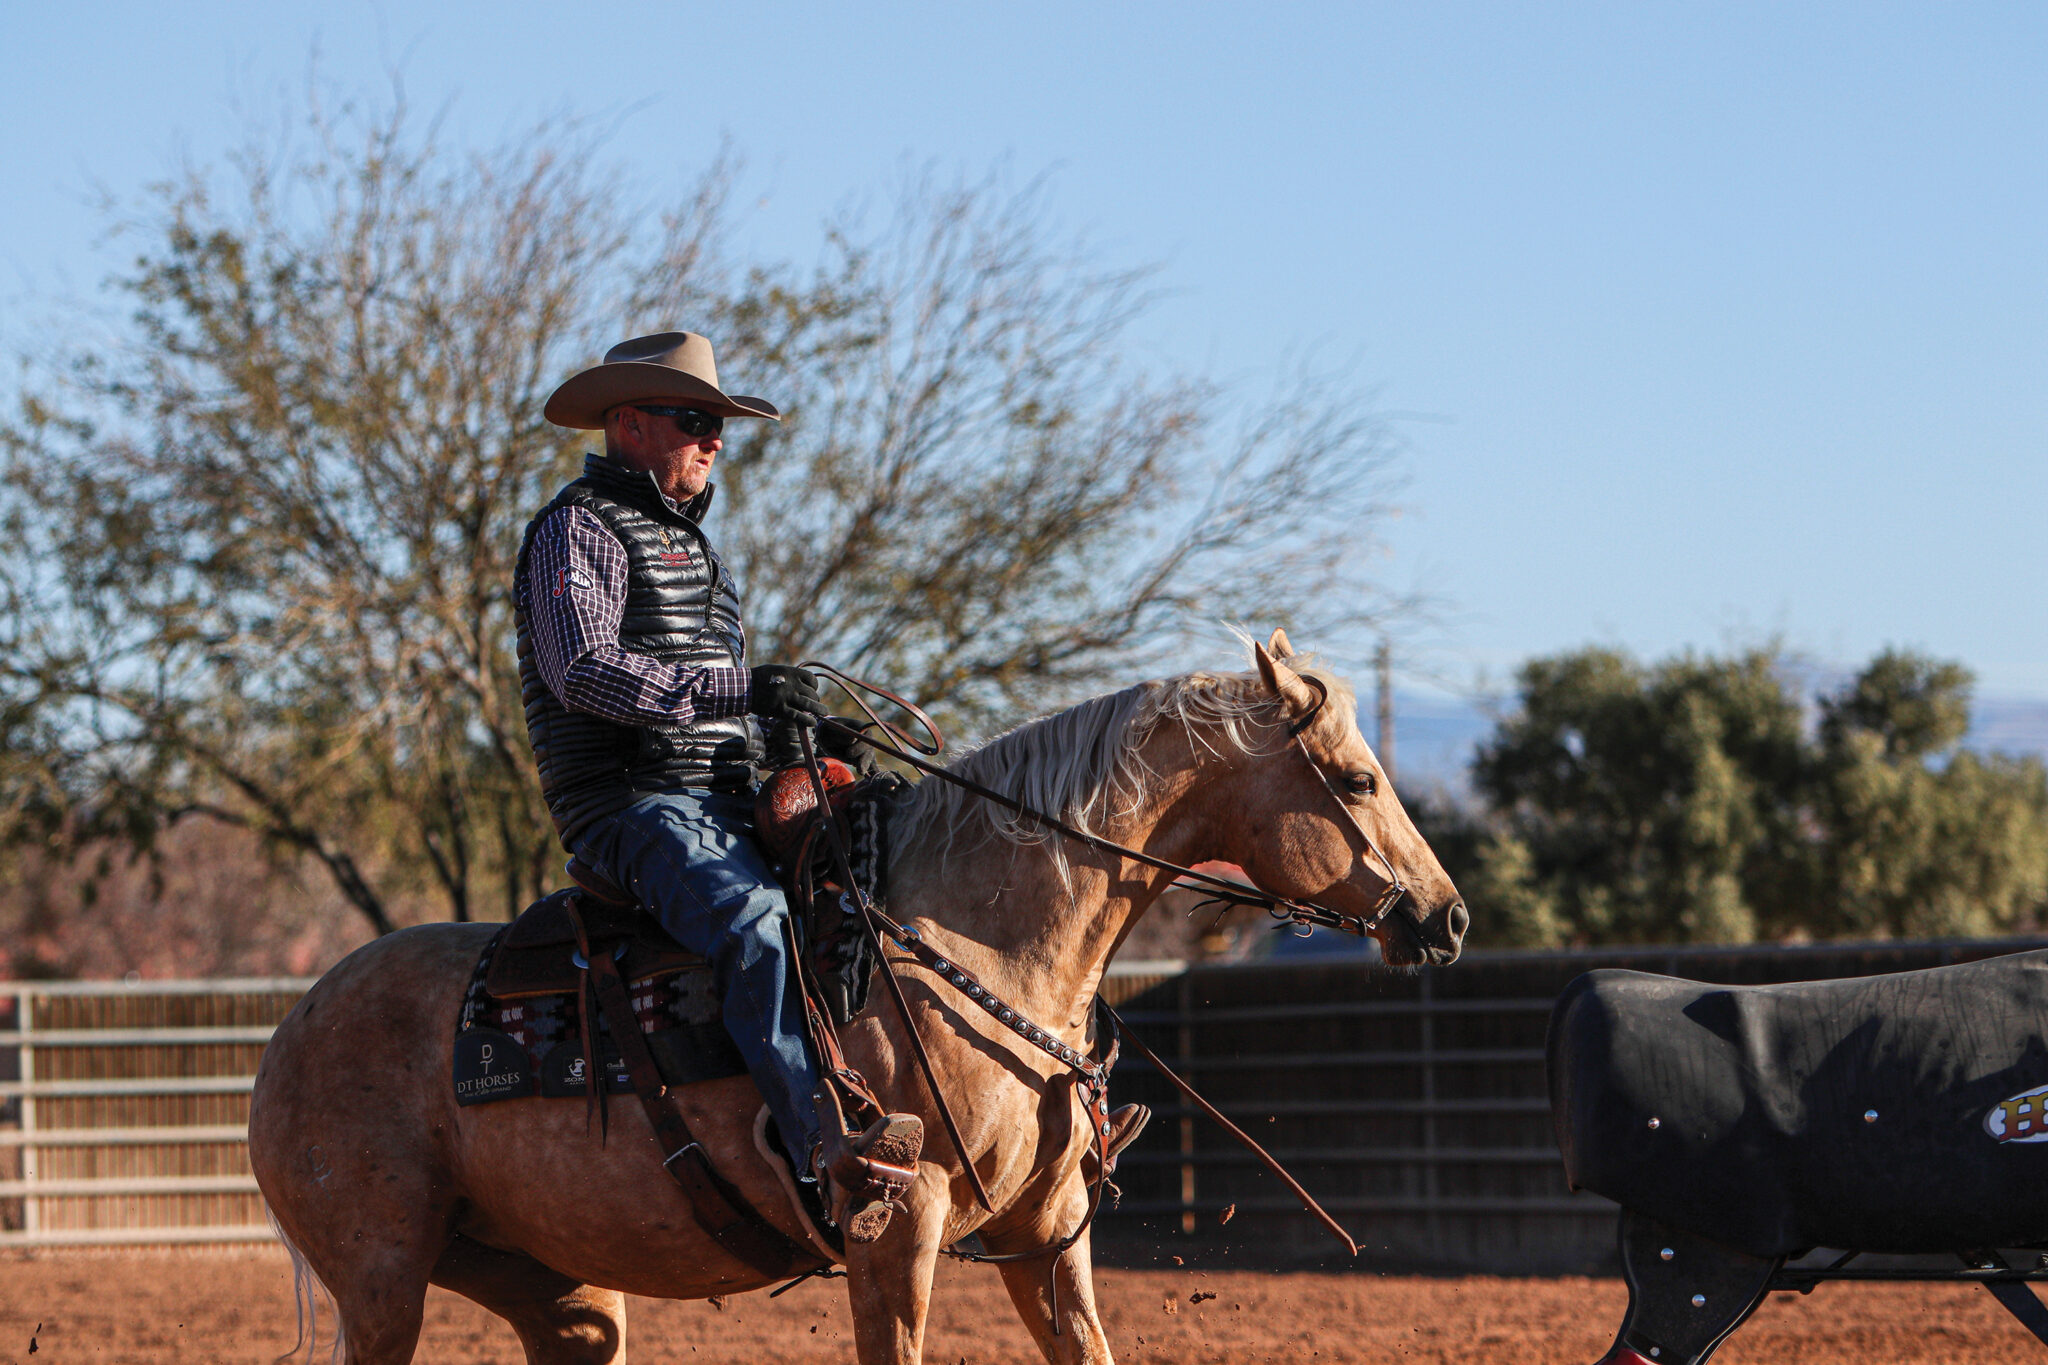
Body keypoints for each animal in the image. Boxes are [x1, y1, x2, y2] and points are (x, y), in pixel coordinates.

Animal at [249, 633, 1466, 1364]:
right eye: (1357, 779)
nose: (1445, 918)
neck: (972, 940)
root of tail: (287, 1035)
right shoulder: (898, 1232)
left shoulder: (1047, 1237)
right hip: (382, 1278)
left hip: (559, 1293)